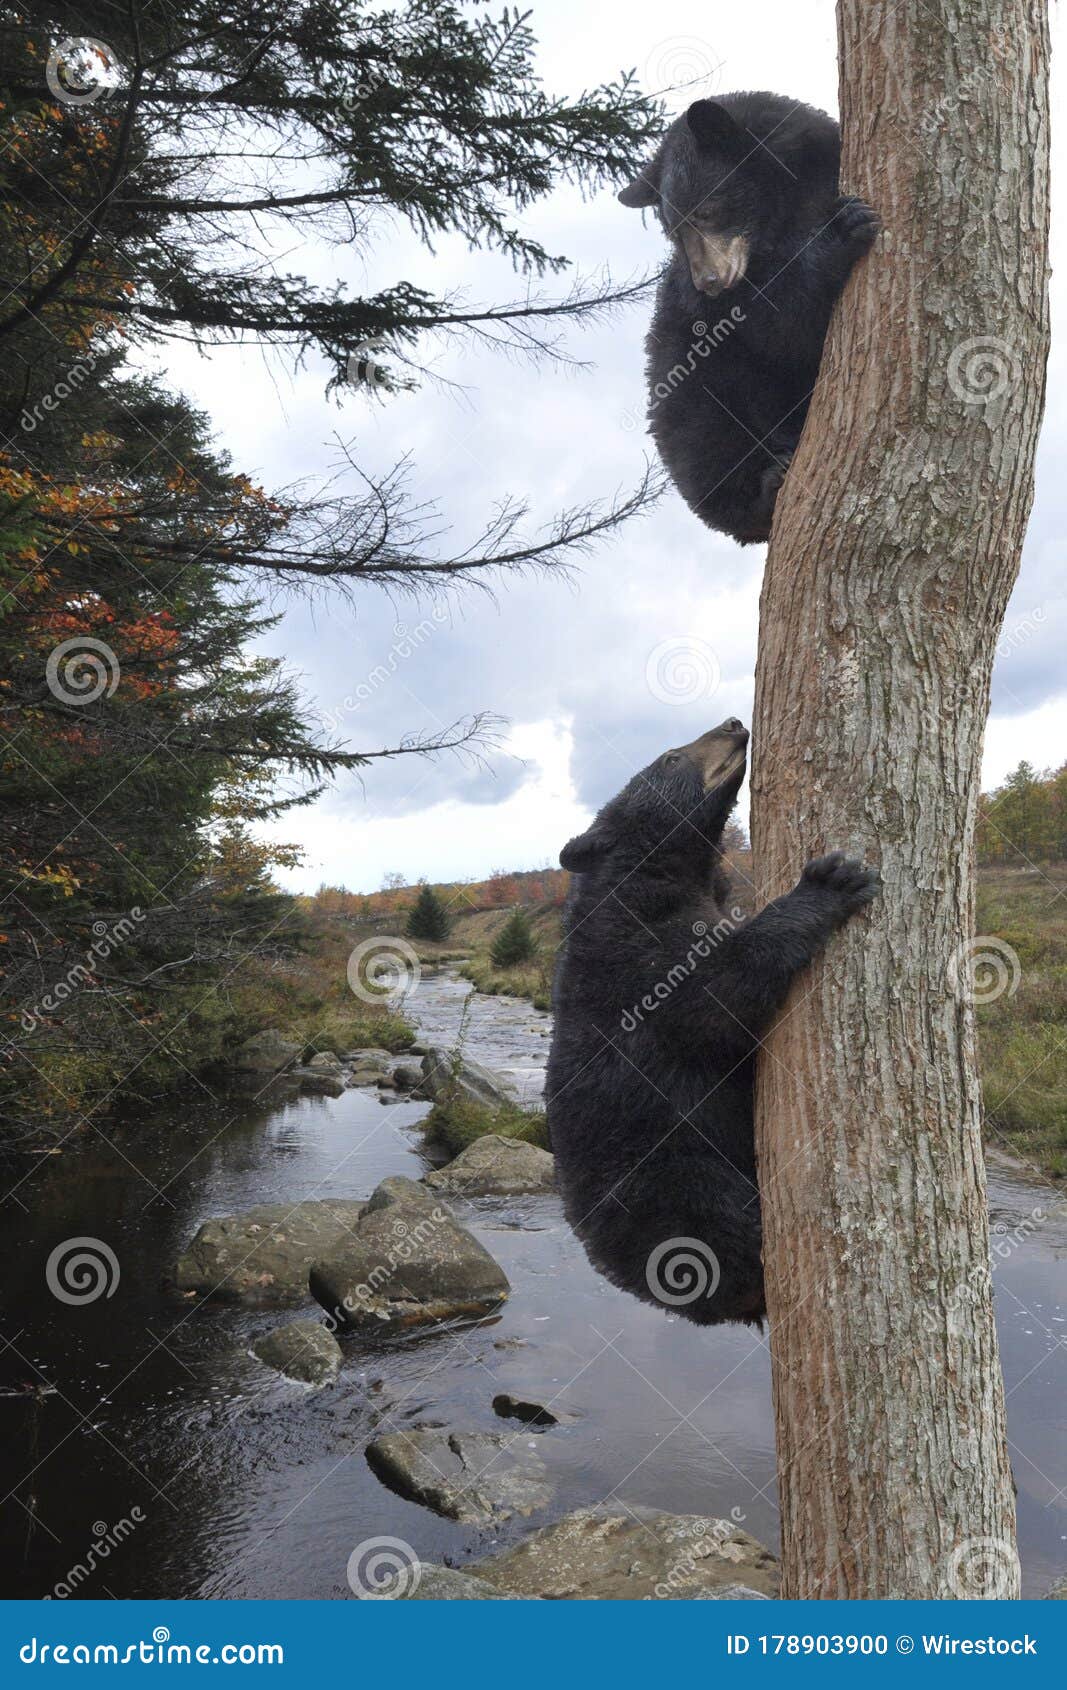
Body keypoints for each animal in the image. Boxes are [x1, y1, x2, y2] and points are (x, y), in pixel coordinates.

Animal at [545, 719, 879, 1327]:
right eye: (671, 756)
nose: (732, 724)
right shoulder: (636, 963)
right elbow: (721, 992)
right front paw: (832, 880)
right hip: (669, 1178)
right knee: (718, 1219)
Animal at [618, 93, 879, 544]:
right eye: (674, 230)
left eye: (706, 212)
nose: (708, 282)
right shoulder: (715, 307)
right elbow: (782, 327)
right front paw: (842, 228)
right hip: (693, 392)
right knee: (706, 448)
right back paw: (767, 488)